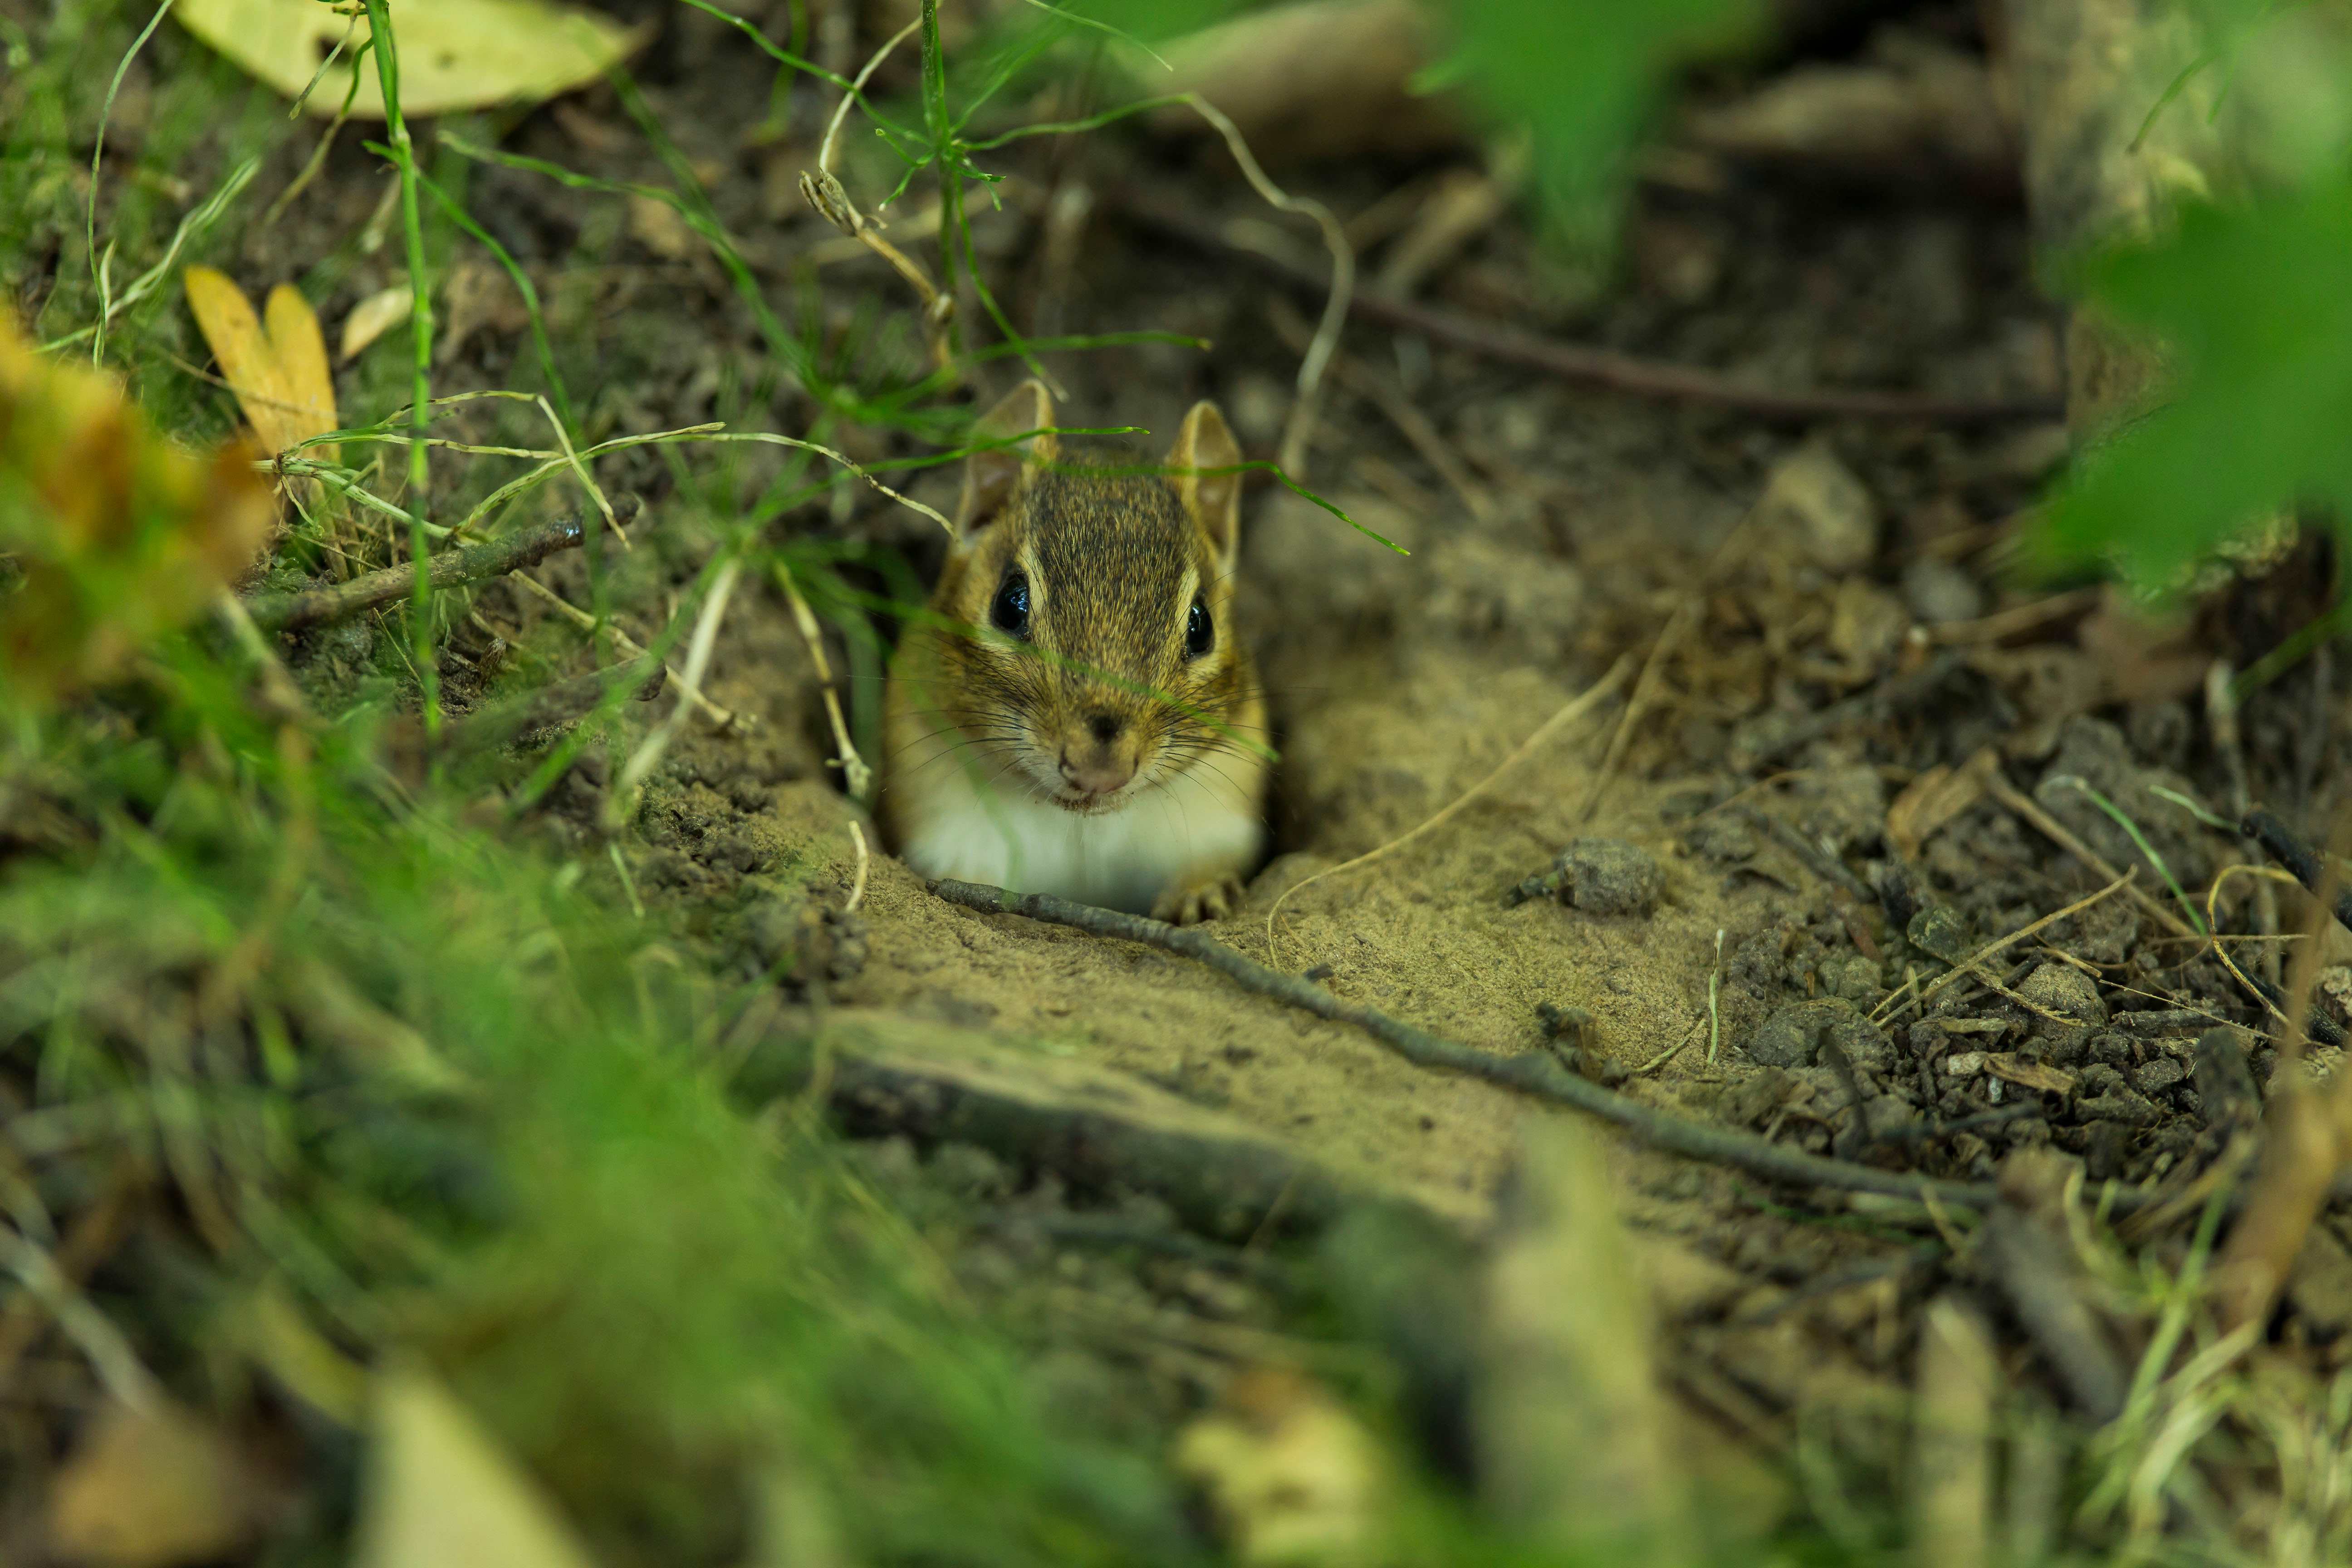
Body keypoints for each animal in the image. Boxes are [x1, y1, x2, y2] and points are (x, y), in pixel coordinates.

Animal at [880, 379, 1269, 924]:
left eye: (1202, 627)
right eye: (1009, 604)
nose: (1098, 771)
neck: (1082, 824)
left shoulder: (1225, 810)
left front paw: (1200, 893)